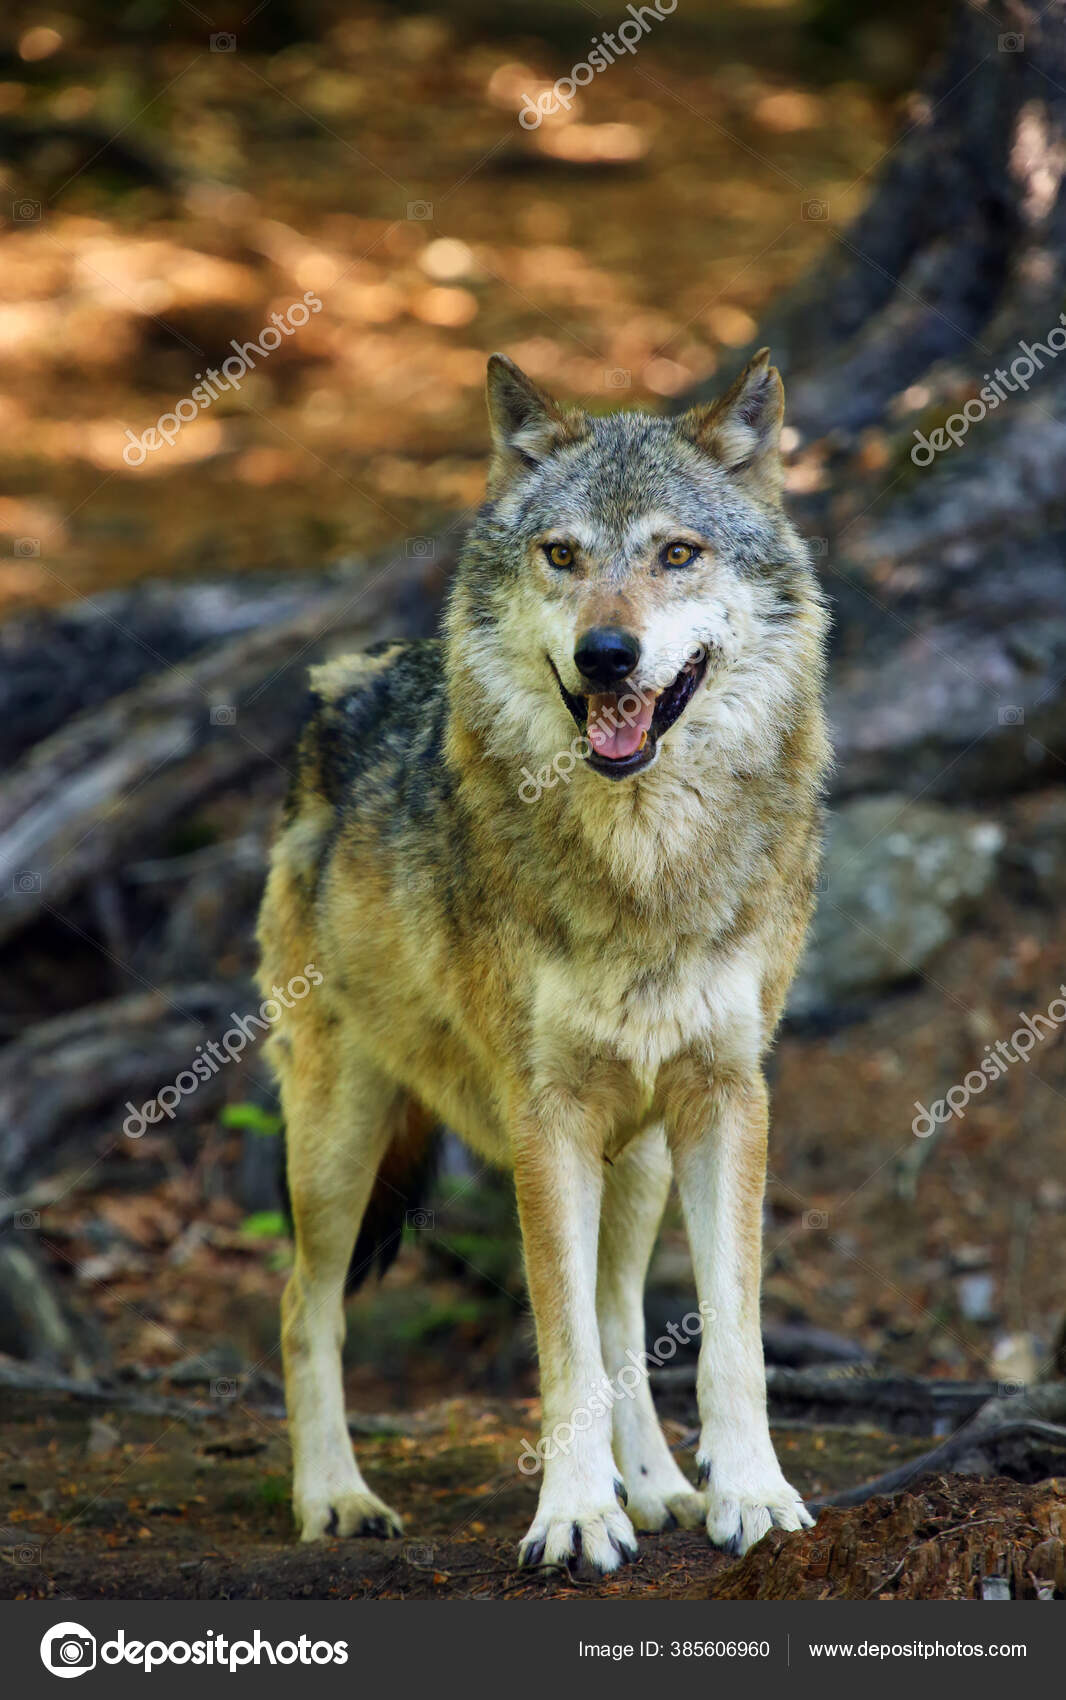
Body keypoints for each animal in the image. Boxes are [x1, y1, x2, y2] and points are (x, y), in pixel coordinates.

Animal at [257, 347, 829, 1575]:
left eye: (675, 553)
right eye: (561, 555)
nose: (607, 654)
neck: (644, 868)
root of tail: (346, 680)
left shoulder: (727, 1095)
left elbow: (728, 1336)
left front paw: (748, 1496)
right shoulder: (544, 1111)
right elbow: (559, 1344)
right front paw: (572, 1516)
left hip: (642, 1152)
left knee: (621, 1315)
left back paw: (657, 1486)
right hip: (337, 1140)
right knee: (302, 1305)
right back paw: (335, 1496)